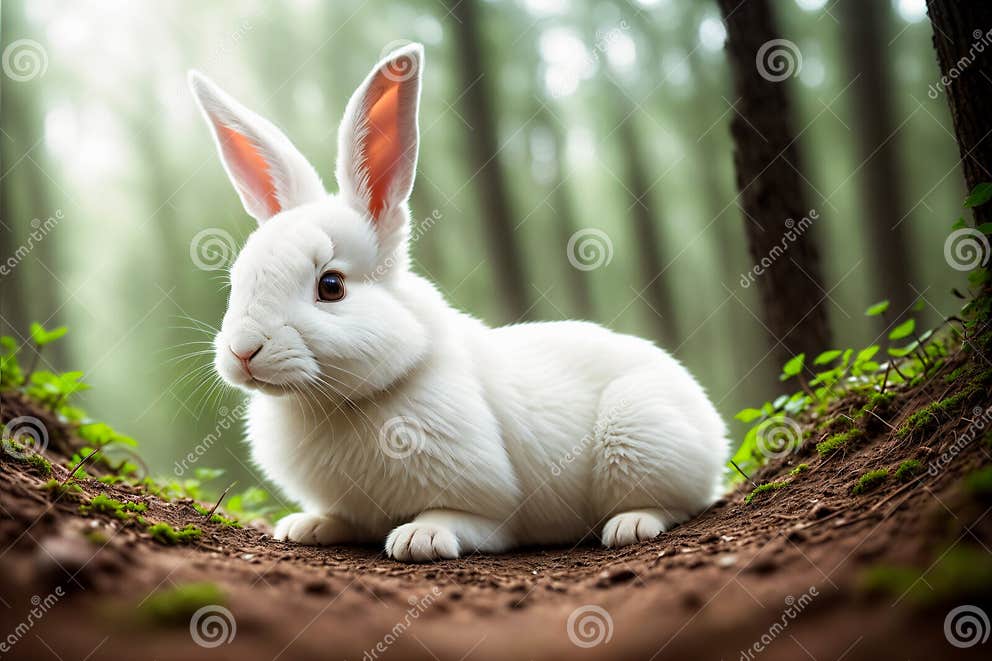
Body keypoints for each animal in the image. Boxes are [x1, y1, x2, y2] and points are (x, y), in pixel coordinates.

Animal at [188, 43, 729, 562]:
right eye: (237, 279)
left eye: (332, 286)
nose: (243, 350)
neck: (339, 401)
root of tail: (712, 424)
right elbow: (340, 517)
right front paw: (306, 527)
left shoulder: (489, 502)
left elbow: (460, 517)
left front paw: (420, 538)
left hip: (639, 436)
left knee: (682, 501)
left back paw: (630, 525)